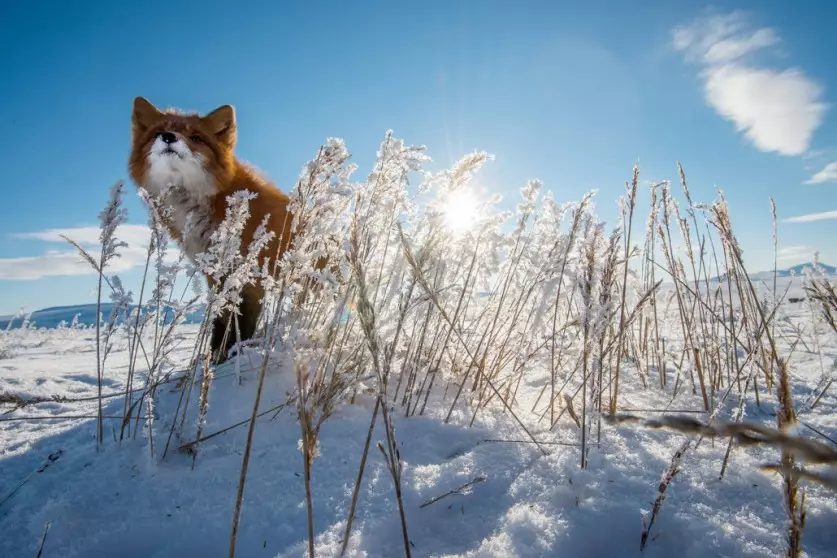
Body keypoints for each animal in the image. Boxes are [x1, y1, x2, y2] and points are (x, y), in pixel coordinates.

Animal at [125, 98, 292, 366]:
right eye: (159, 132)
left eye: (195, 138)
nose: (169, 137)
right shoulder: (214, 272)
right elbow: (220, 319)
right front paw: (213, 357)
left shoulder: (250, 273)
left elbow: (242, 321)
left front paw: (234, 355)